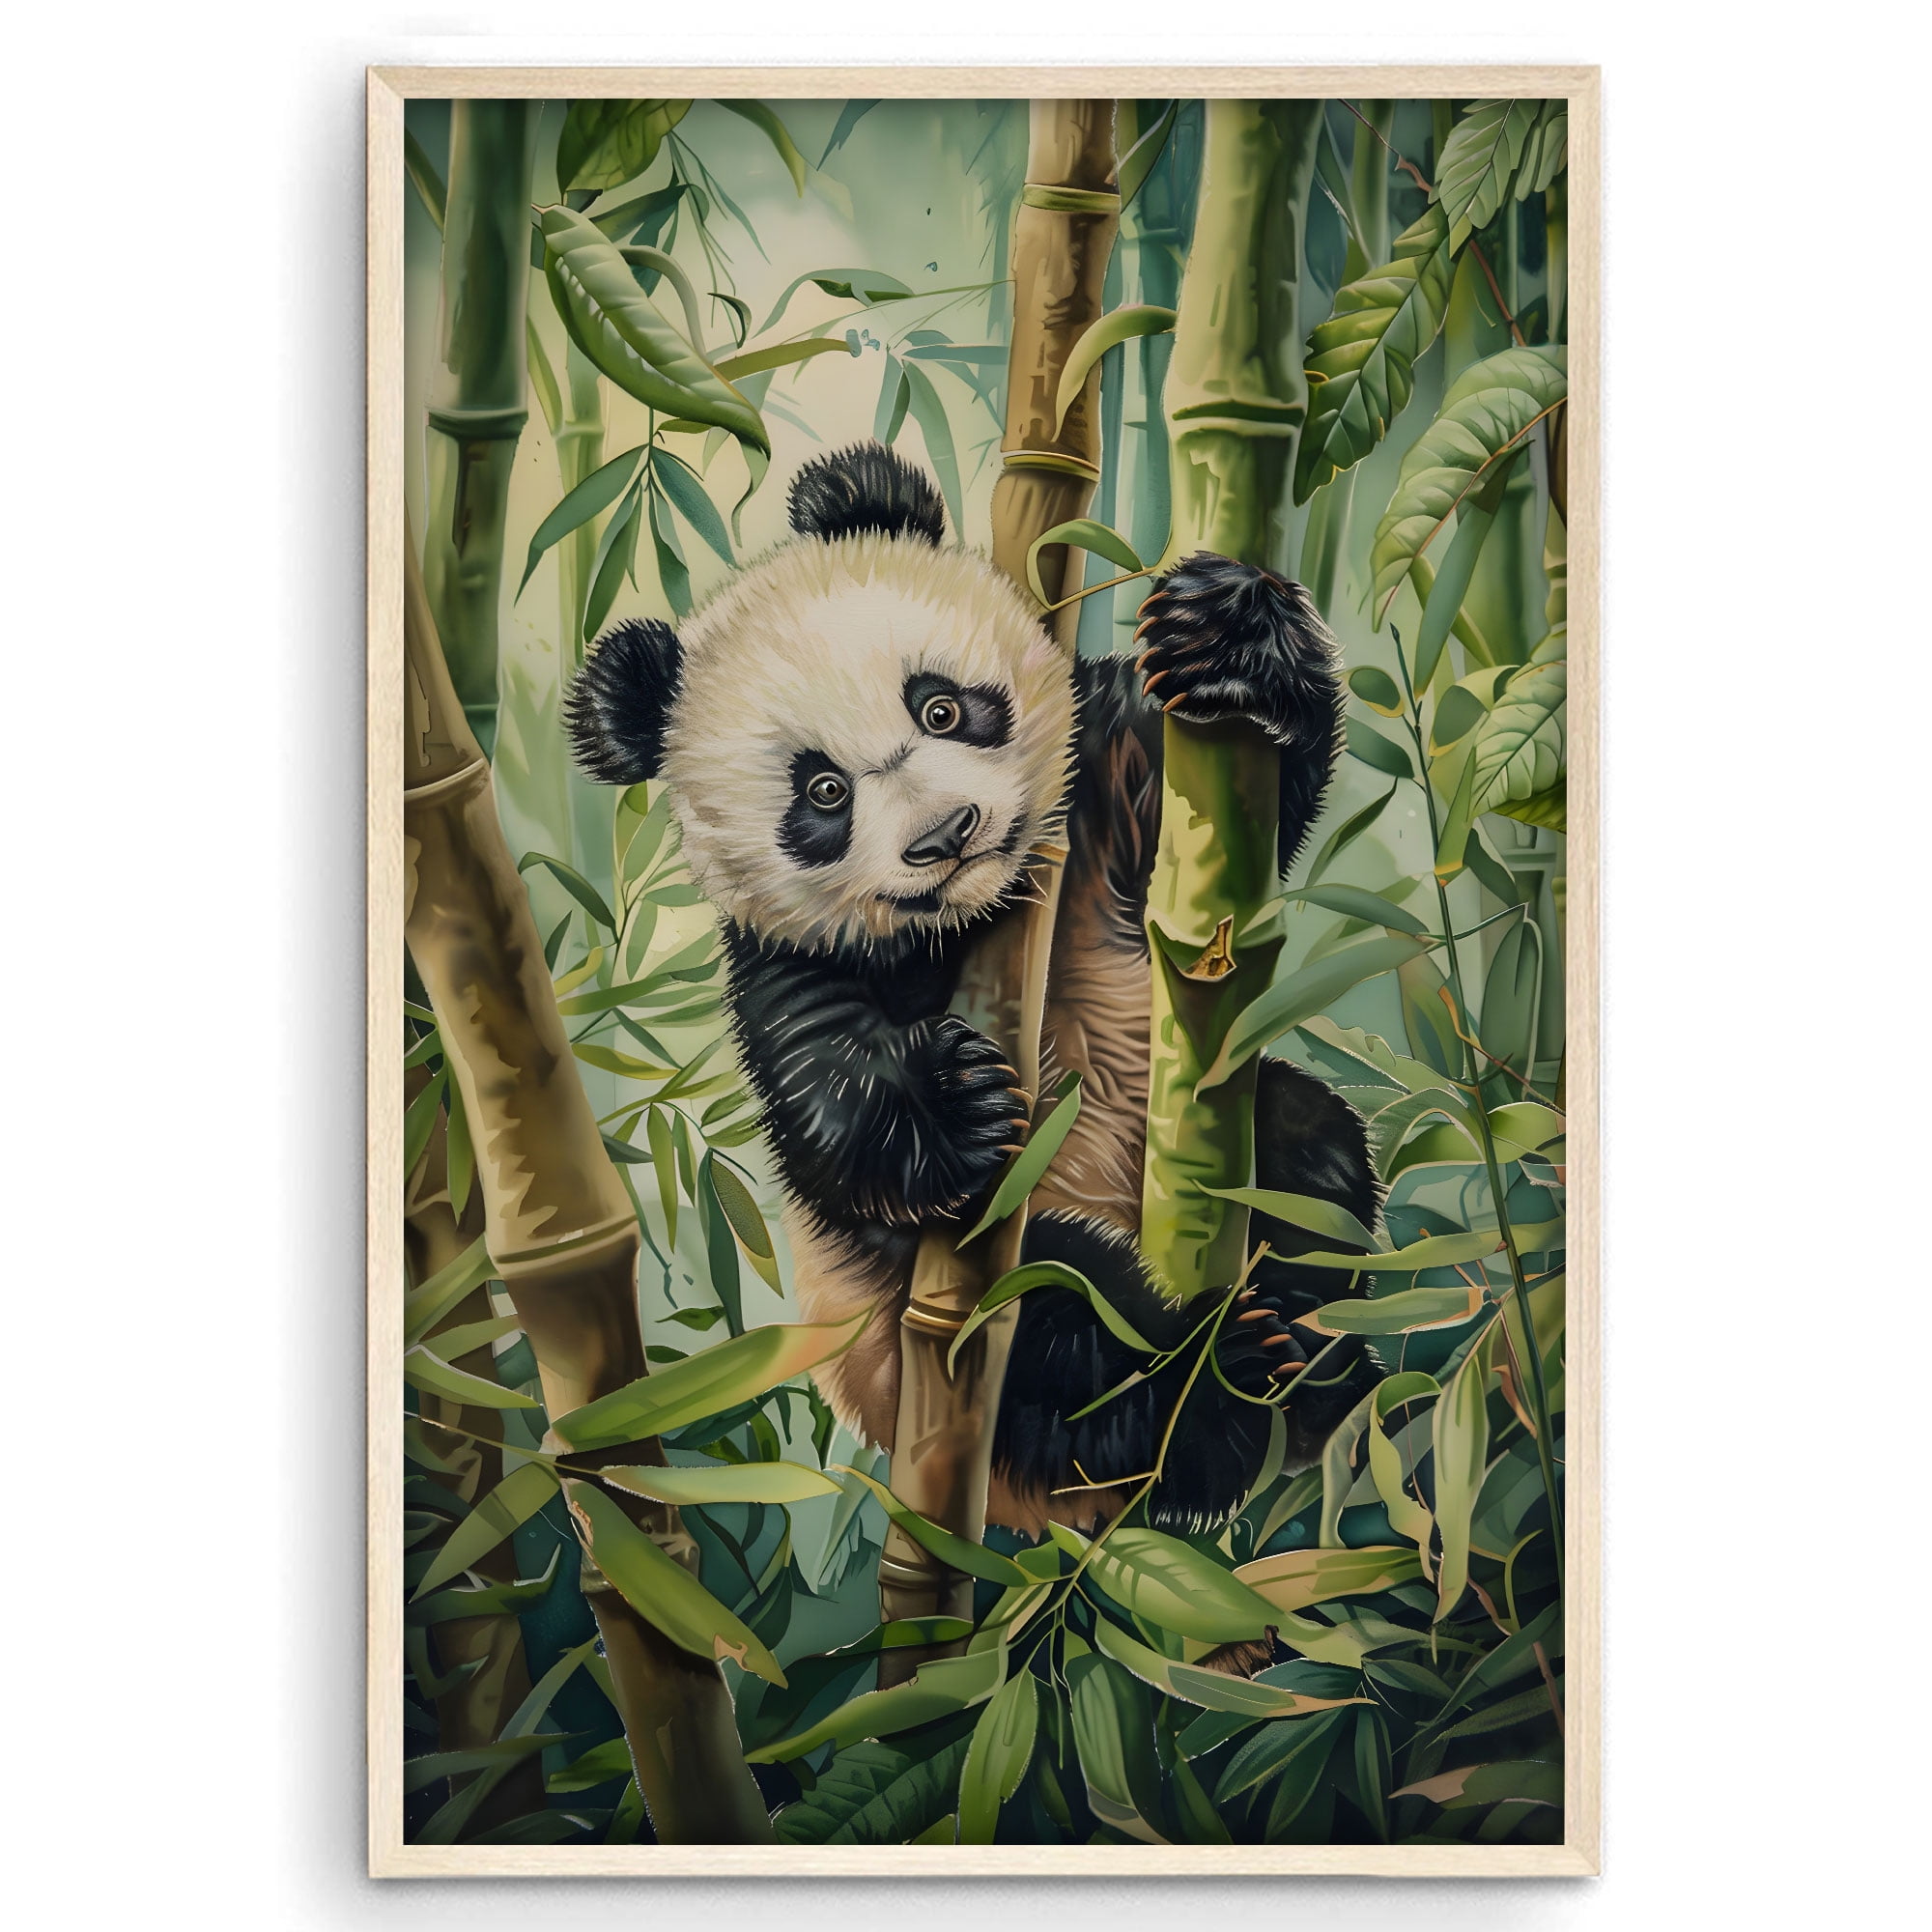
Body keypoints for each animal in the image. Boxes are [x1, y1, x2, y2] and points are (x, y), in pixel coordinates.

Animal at [568, 441, 1383, 1538]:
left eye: (941, 707)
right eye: (823, 792)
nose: (945, 835)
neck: (986, 910)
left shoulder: (1100, 797)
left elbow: (1241, 812)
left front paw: (1229, 633)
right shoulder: (792, 958)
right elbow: (827, 1111)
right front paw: (956, 1096)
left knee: (1311, 1155)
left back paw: (1319, 1369)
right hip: (915, 1321)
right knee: (1054, 1325)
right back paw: (1209, 1390)